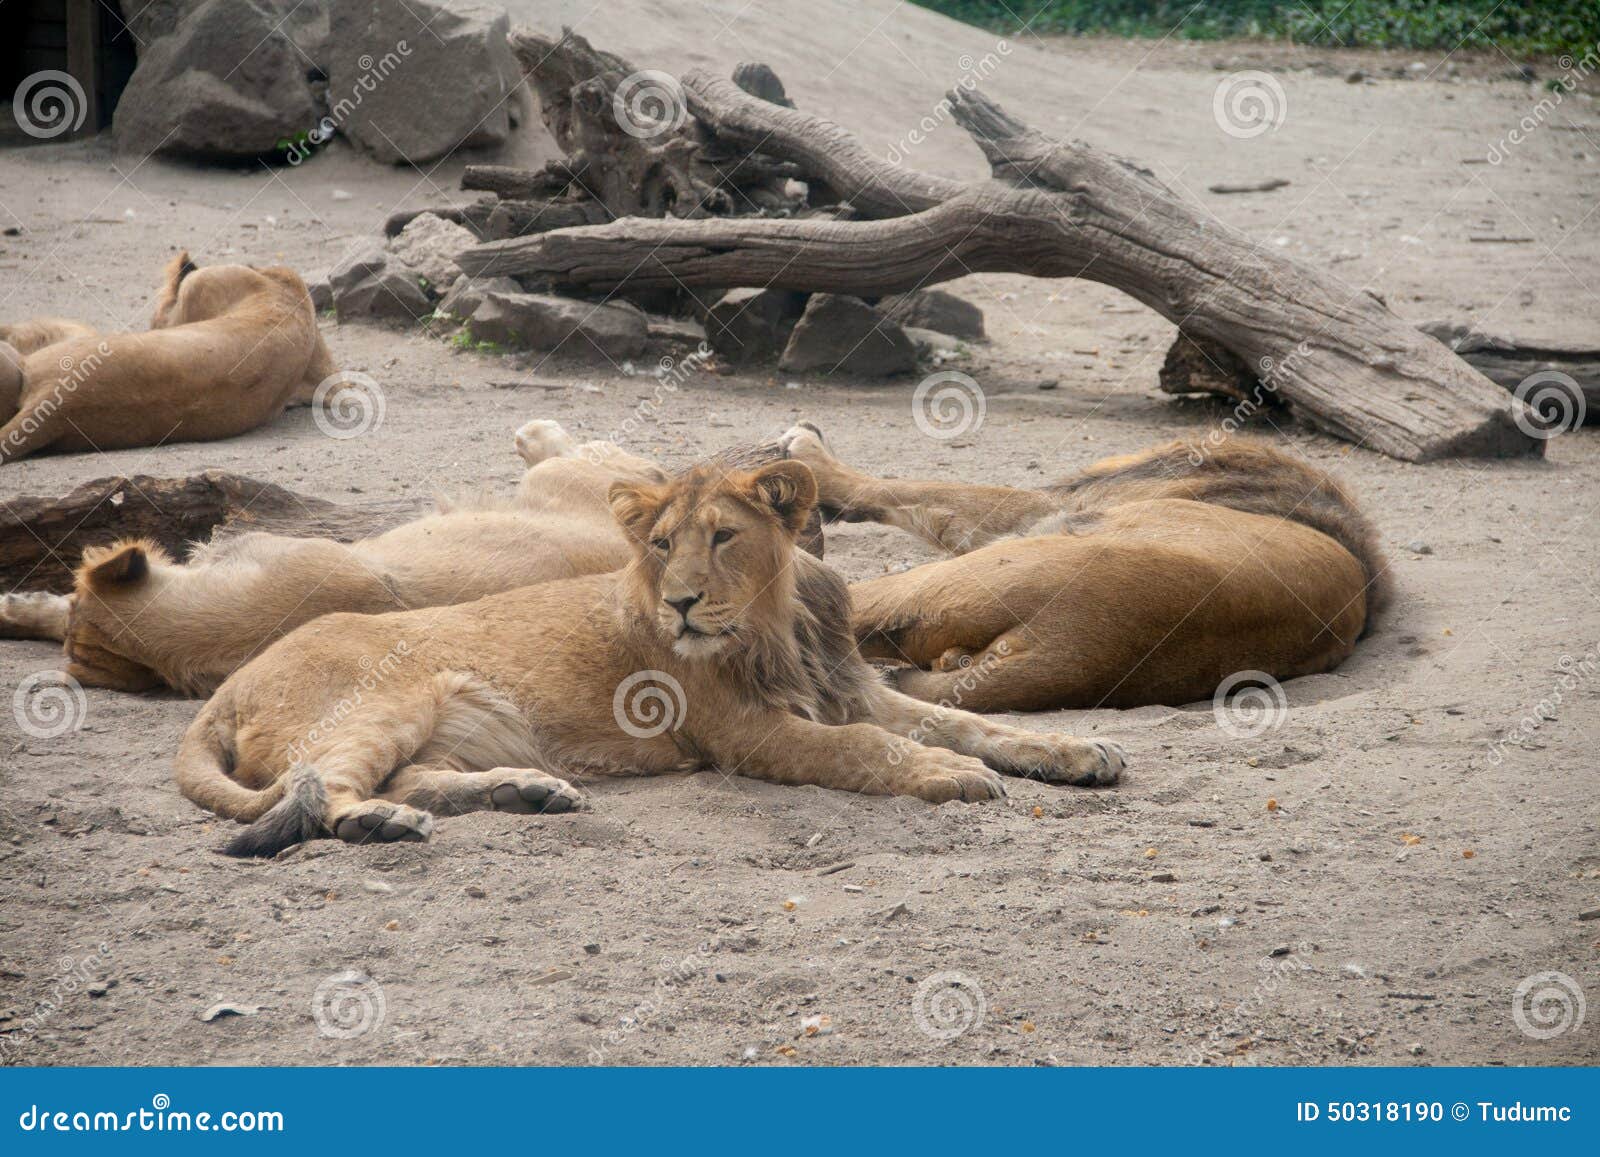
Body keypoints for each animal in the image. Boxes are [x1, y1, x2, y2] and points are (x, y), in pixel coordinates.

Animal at [177, 456, 1126, 857]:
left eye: (724, 537)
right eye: (663, 544)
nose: (681, 601)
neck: (777, 622)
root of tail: (225, 690)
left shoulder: (851, 687)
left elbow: (966, 718)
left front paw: (1080, 749)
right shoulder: (748, 732)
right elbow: (869, 748)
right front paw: (950, 775)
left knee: (403, 777)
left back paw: (528, 793)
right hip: (388, 698)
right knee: (323, 788)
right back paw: (383, 826)